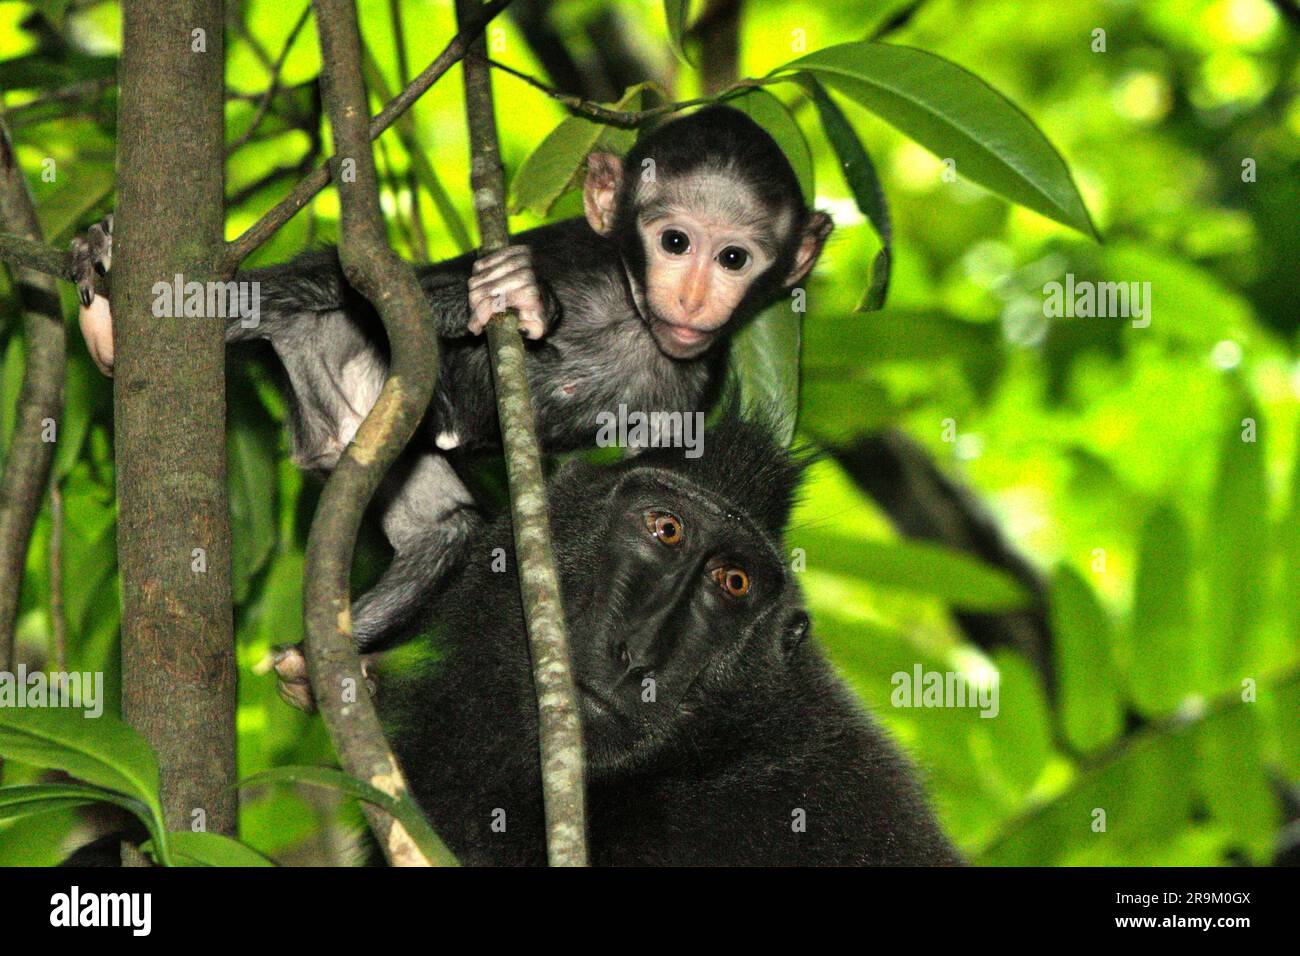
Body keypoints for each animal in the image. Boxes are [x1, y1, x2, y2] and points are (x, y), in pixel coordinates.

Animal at [70, 106, 834, 652]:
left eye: (734, 257)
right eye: (675, 242)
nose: (695, 296)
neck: (633, 321)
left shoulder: (690, 392)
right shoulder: (571, 254)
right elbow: (434, 284)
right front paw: (520, 300)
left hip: (383, 445)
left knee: (448, 530)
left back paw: (311, 667)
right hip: (335, 343)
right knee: (321, 285)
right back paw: (109, 323)